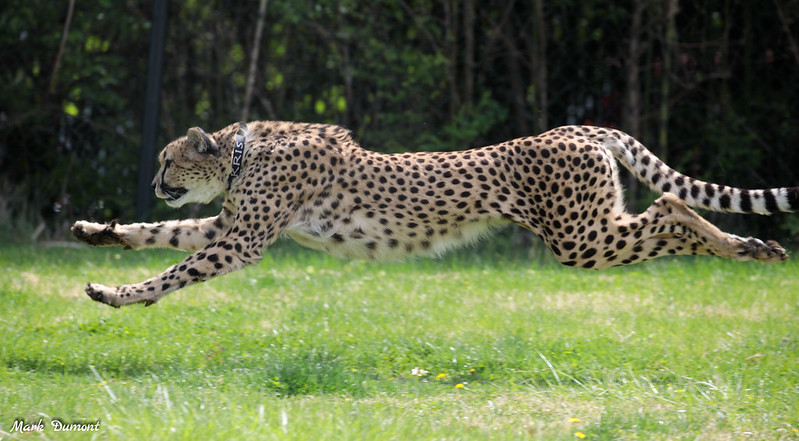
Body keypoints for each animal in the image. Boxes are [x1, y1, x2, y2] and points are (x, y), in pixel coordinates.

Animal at [71, 121, 798, 308]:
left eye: (167, 160)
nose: (155, 178)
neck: (242, 152)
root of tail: (577, 125)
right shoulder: (230, 226)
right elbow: (160, 233)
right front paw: (97, 233)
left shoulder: (241, 239)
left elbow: (175, 268)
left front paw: (119, 294)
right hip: (591, 230)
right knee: (671, 210)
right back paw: (753, 248)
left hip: (579, 238)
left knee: (672, 204)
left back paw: (749, 248)